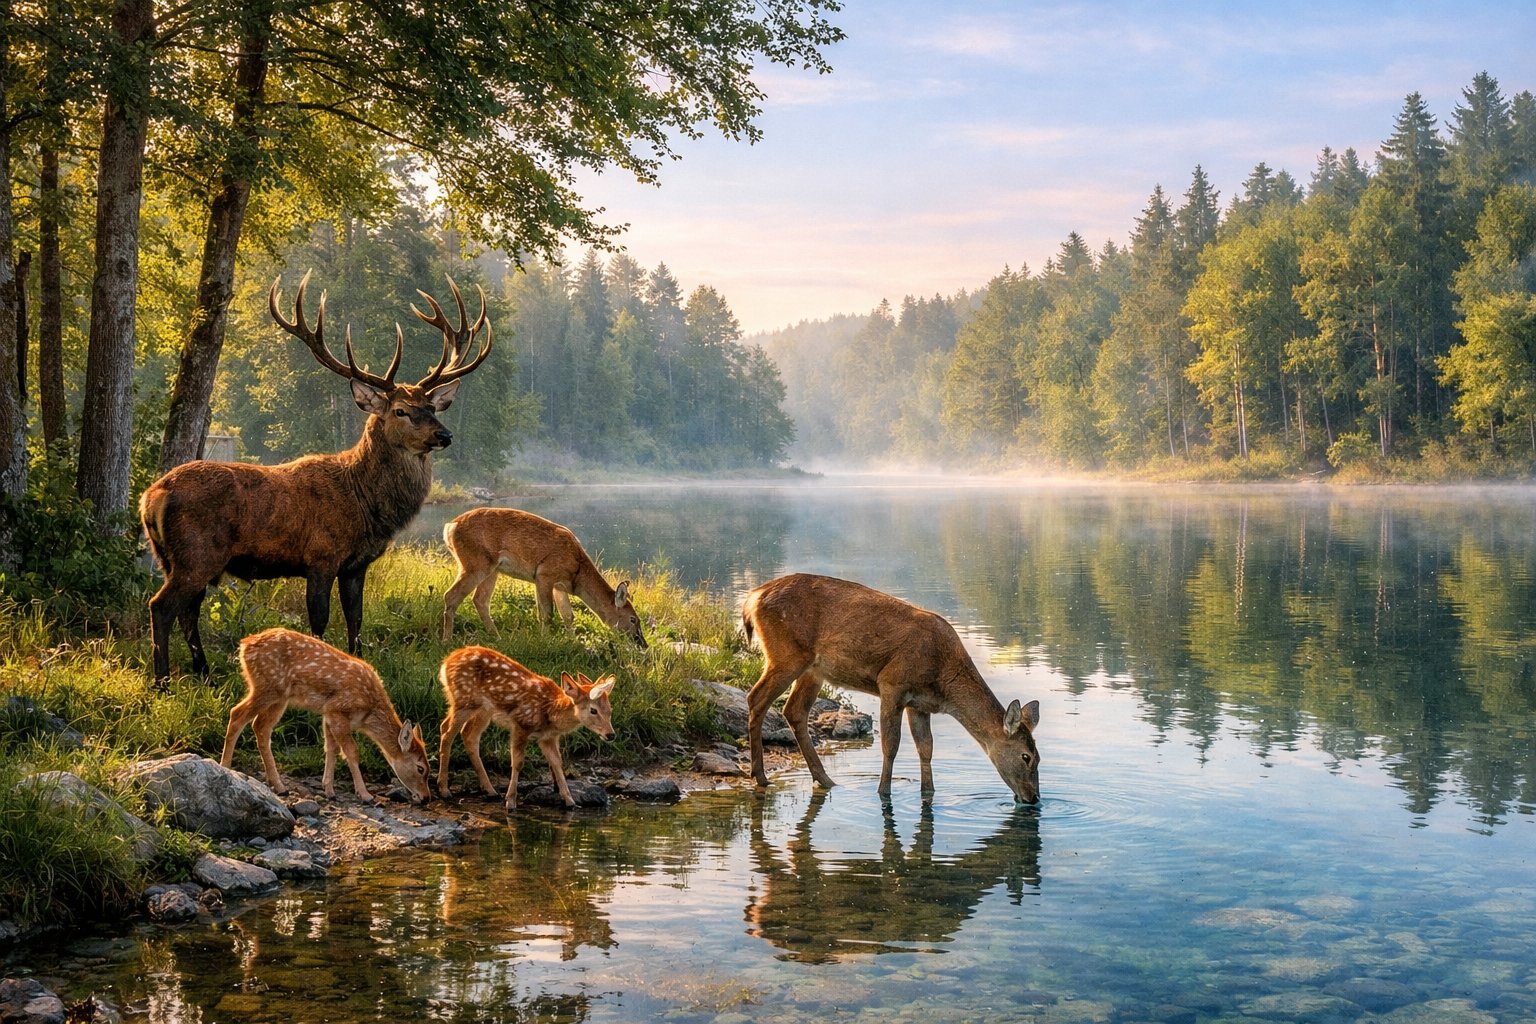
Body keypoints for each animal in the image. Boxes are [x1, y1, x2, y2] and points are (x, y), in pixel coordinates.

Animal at [140, 271, 491, 680]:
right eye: (401, 411)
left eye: (431, 407)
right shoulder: (321, 556)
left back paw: (203, 671)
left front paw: (361, 663)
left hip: (171, 557)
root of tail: (151, 496)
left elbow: (356, 620)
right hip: (197, 553)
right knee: (162, 606)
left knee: (188, 611)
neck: (366, 504)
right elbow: (320, 623)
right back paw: (163, 679)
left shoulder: (356, 564)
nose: (444, 435)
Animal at [221, 627, 432, 804]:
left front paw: (329, 790)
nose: (426, 797)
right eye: (420, 768)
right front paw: (365, 795)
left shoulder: (328, 714)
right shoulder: (338, 710)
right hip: (267, 687)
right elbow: (352, 751)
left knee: (260, 727)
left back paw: (279, 786)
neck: (368, 713)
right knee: (237, 713)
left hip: (279, 697)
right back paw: (226, 767)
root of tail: (244, 645)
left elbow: (331, 749)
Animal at [436, 645, 616, 811]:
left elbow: (557, 763)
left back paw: (490, 790)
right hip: (464, 700)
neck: (550, 713)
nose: (611, 735)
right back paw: (444, 789)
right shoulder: (520, 725)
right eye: (593, 710)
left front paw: (570, 801)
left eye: (610, 709)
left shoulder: (548, 738)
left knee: (468, 734)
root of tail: (446, 662)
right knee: (447, 731)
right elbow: (518, 763)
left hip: (484, 709)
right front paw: (510, 802)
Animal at [440, 507, 646, 648]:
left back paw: (497, 638)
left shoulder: (559, 585)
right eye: (633, 619)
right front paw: (546, 641)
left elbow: (568, 615)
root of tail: (450, 527)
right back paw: (447, 640)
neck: (577, 574)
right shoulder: (544, 574)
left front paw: (573, 642)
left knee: (480, 600)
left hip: (492, 569)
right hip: (475, 563)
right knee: (451, 595)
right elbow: (547, 613)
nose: (643, 643)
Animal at [740, 573, 1041, 804]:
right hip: (787, 655)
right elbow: (891, 745)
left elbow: (926, 748)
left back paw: (825, 780)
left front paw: (928, 793)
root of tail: (752, 598)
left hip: (814, 670)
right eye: (1026, 757)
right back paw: (760, 776)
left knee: (794, 710)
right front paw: (884, 793)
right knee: (756, 698)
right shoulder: (892, 683)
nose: (1034, 798)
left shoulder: (919, 705)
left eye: (1039, 757)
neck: (942, 679)